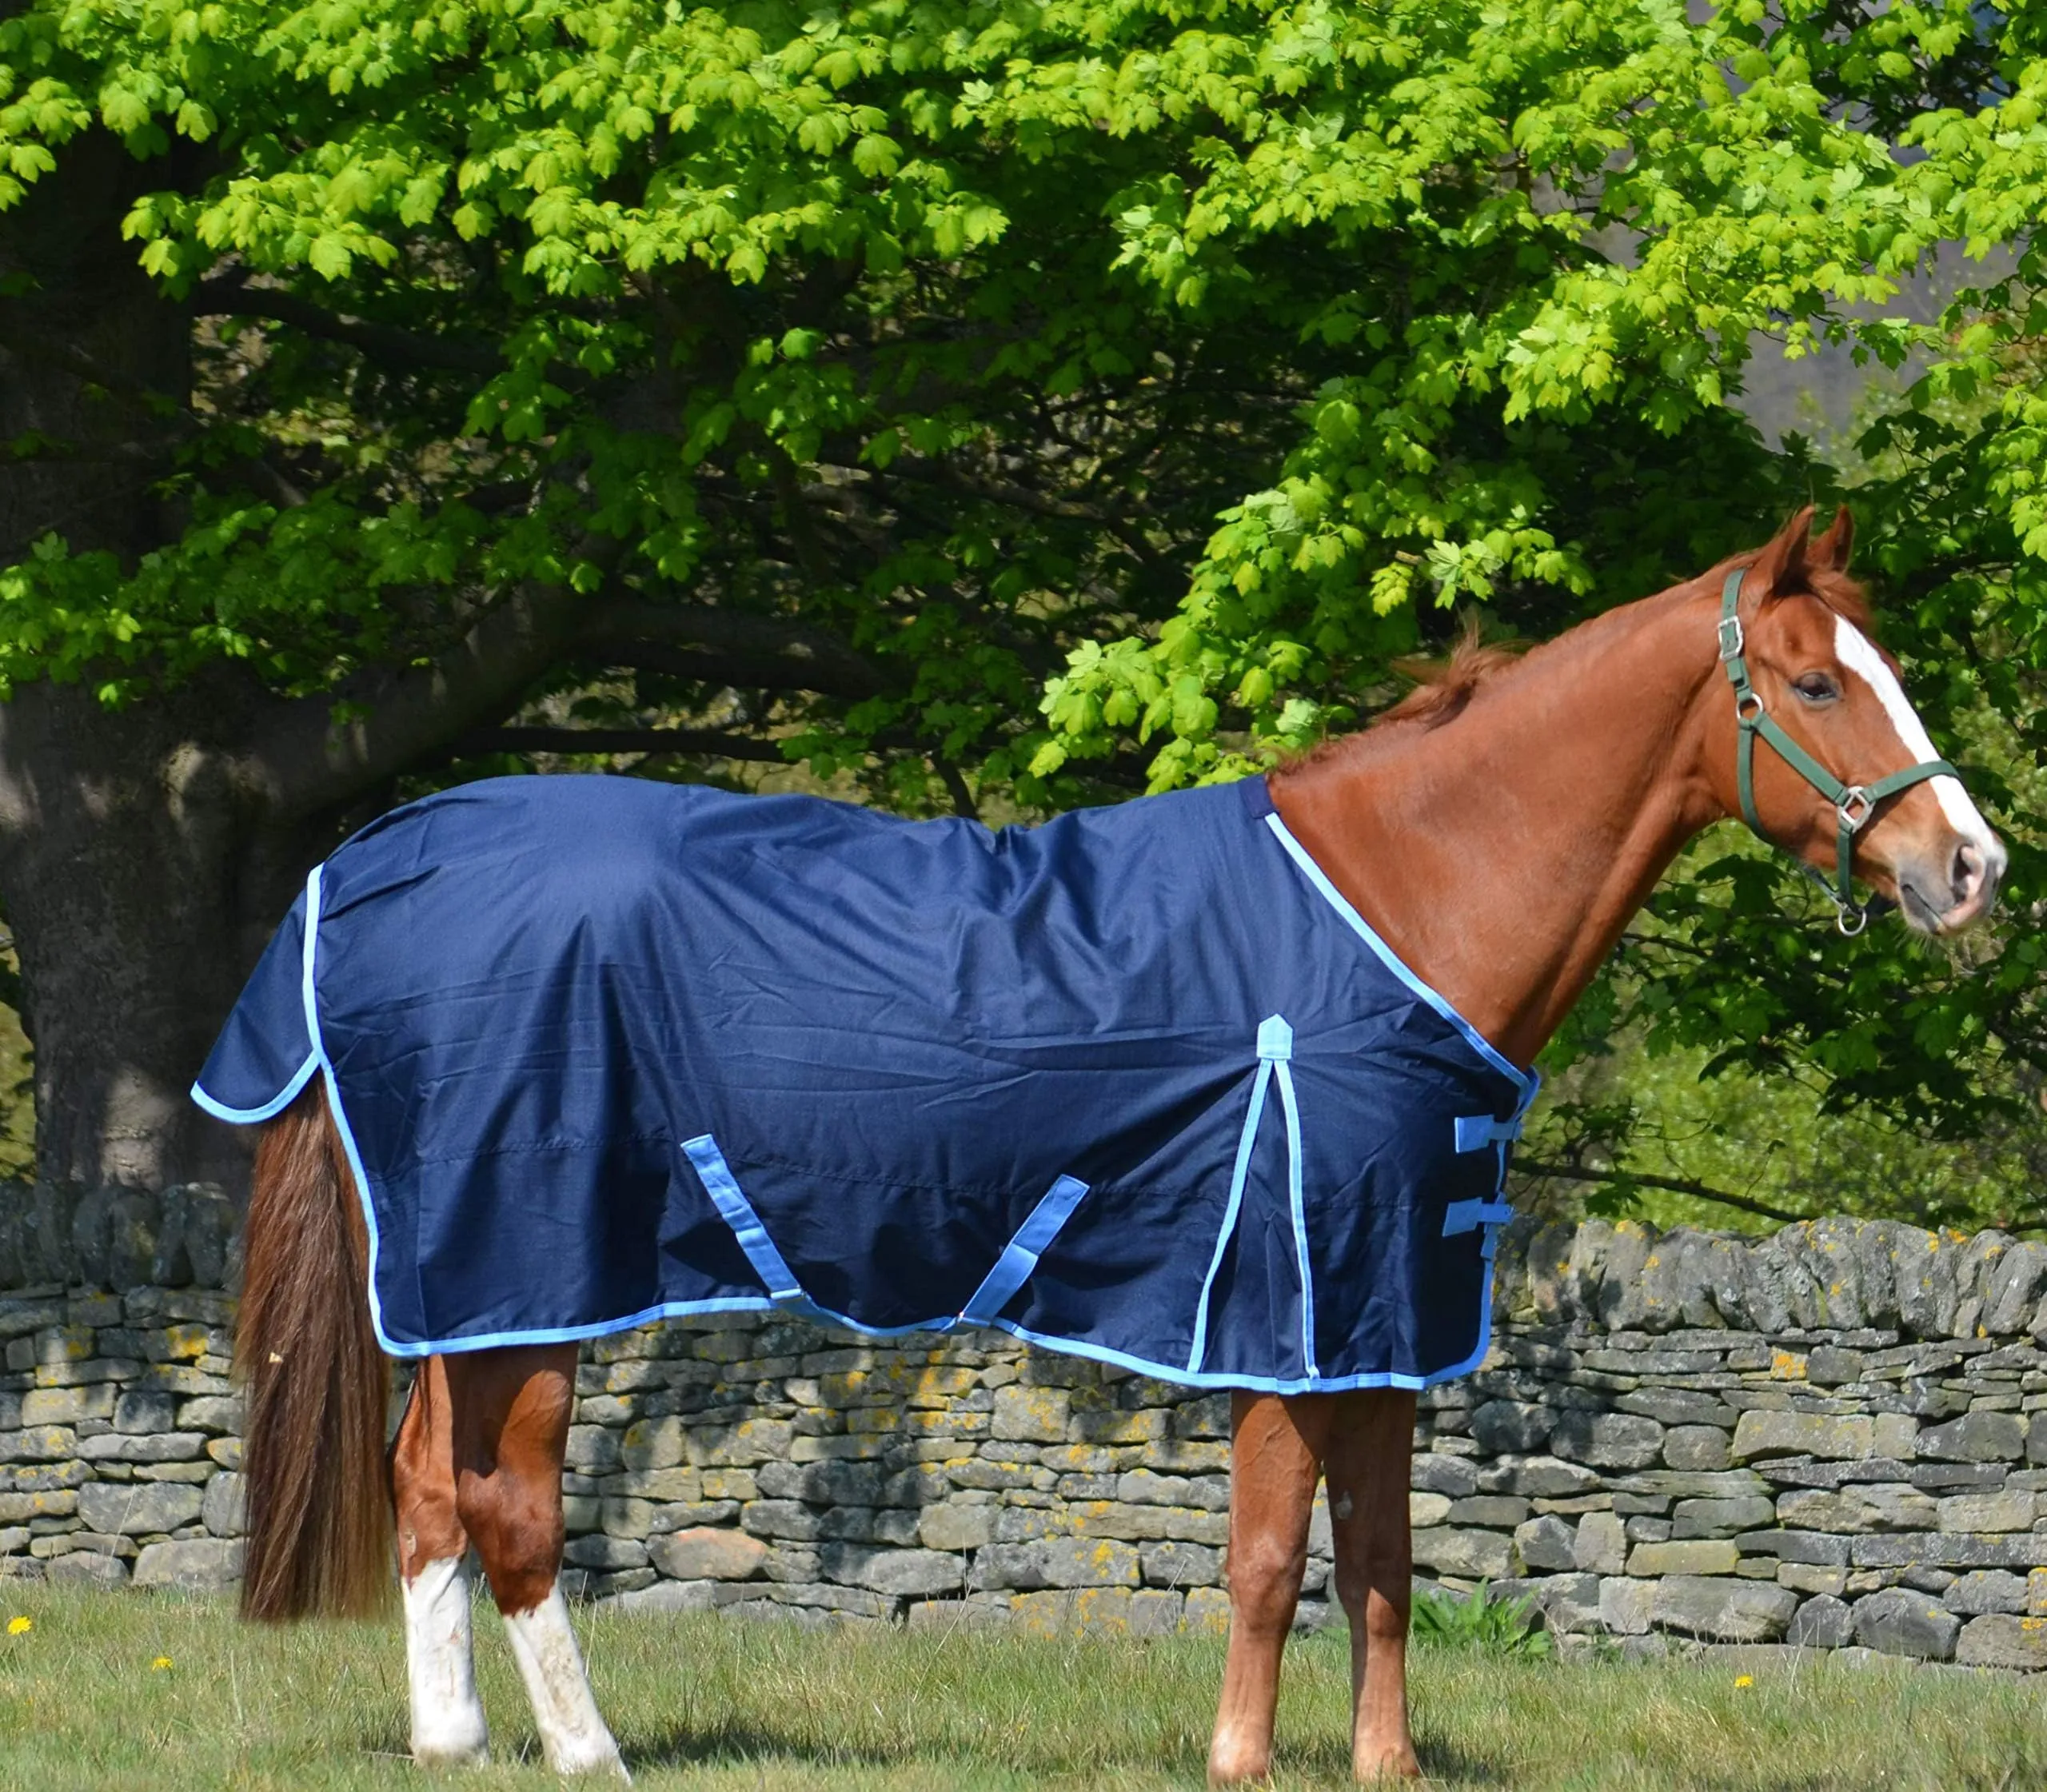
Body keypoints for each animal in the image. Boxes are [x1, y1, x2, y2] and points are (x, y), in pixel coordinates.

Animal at [202, 506, 2005, 1783]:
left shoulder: (1381, 1309)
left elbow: (1382, 1556)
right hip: (536, 1263)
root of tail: (374, 863)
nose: (1971, 866)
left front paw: (1380, 1766)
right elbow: (1271, 1555)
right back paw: (590, 1752)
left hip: (472, 1283)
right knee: (505, 1505)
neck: (1400, 899)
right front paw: (1237, 1763)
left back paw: (453, 1744)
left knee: (425, 1488)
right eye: (1817, 682)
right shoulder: (1284, 1298)